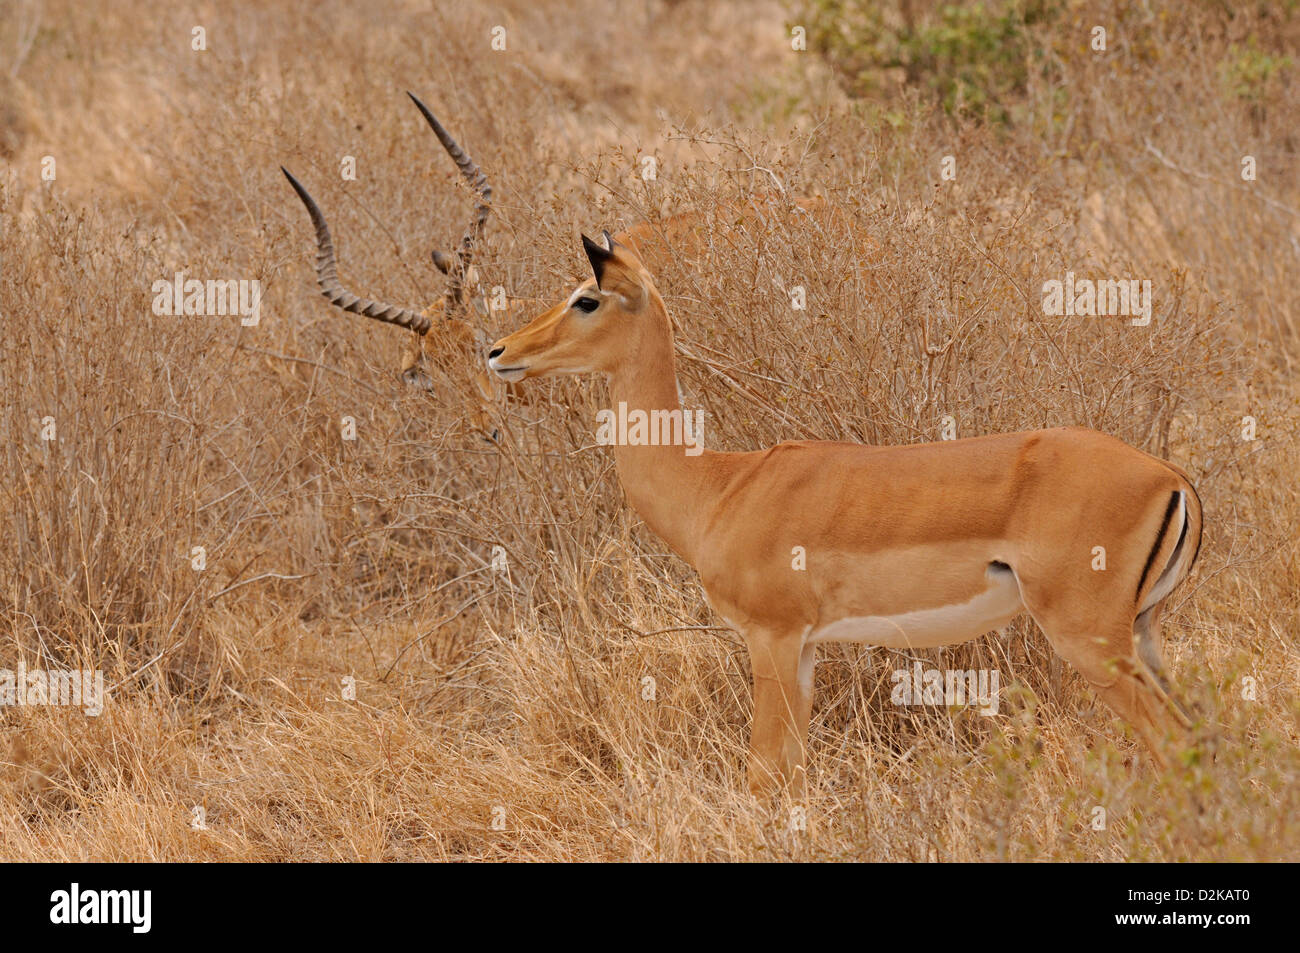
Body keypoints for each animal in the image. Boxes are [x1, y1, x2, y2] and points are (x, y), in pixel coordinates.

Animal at [486, 232, 1203, 796]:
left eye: (586, 297)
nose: (499, 351)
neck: (720, 486)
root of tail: (1172, 479)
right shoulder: (805, 648)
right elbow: (795, 773)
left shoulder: (771, 637)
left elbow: (761, 776)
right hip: (1142, 633)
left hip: (1089, 639)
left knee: (1173, 742)